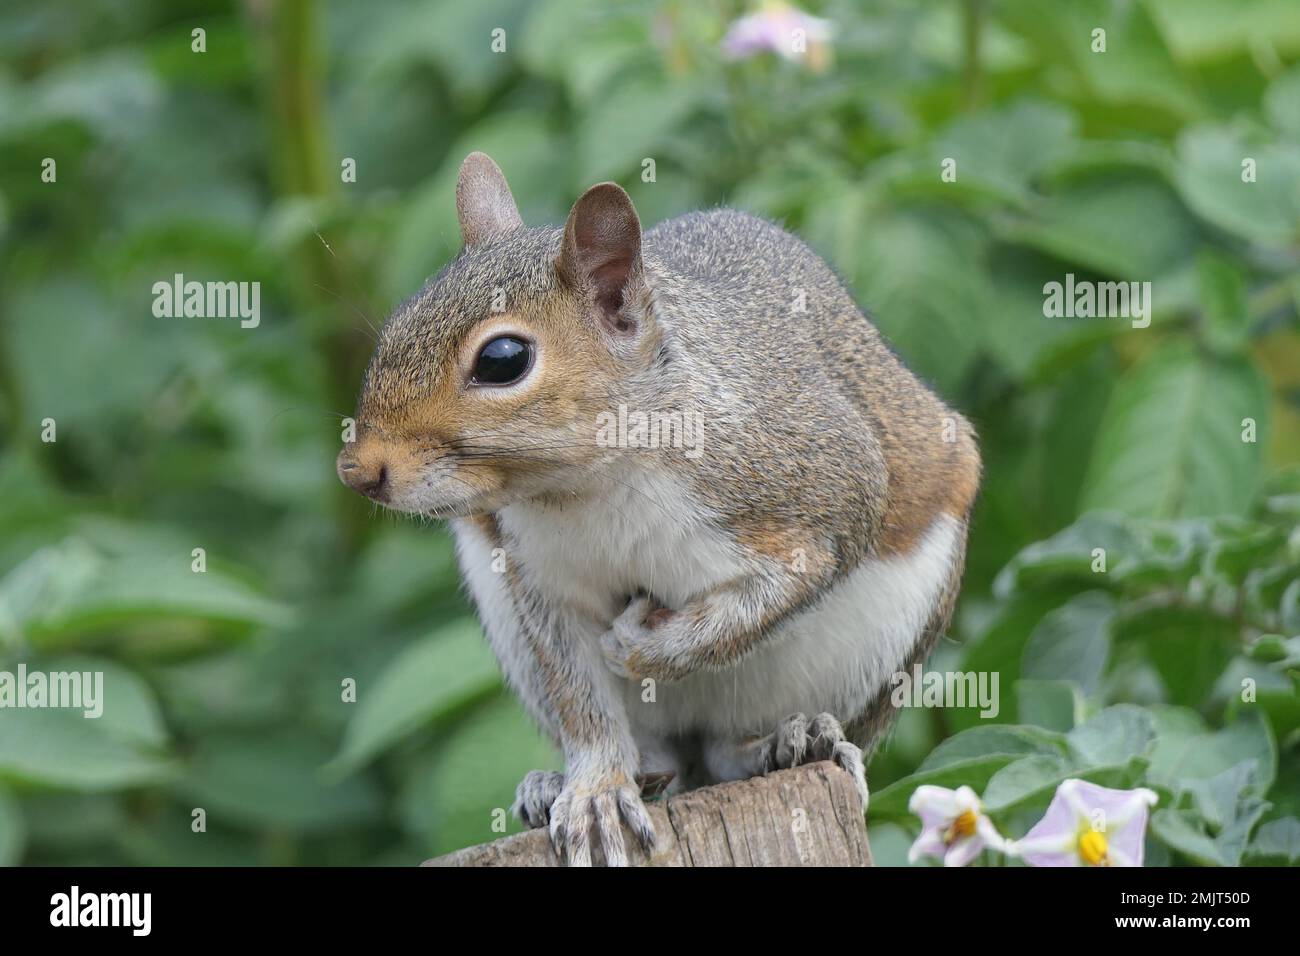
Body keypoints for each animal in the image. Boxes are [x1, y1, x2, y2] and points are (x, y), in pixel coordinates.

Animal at [338, 152, 981, 866]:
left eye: (503, 360)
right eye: (397, 323)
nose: (358, 470)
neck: (590, 485)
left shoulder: (817, 494)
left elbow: (762, 602)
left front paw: (644, 645)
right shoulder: (539, 584)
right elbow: (581, 699)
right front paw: (594, 789)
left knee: (732, 753)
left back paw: (792, 741)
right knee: (659, 755)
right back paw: (561, 783)